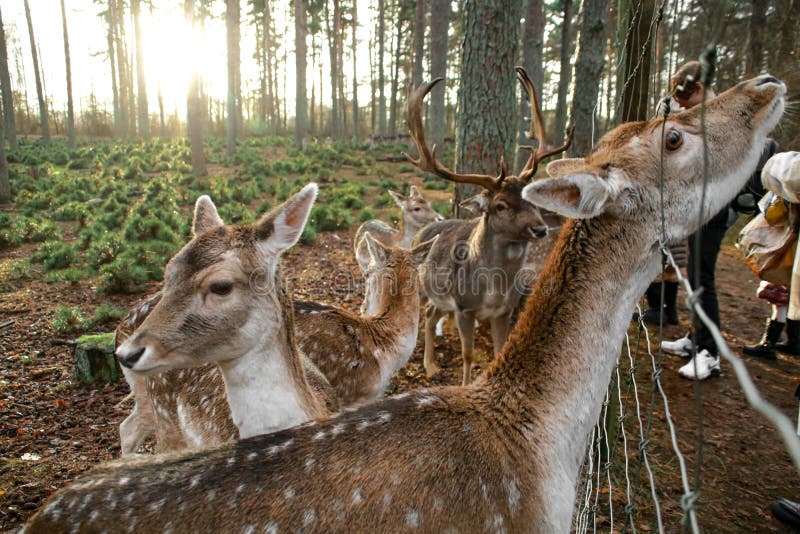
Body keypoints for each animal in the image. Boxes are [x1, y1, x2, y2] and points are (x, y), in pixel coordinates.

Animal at [116, 232, 437, 454]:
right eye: (366, 273)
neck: (382, 349)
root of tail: (119, 332)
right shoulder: (352, 395)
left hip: (142, 395)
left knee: (127, 427)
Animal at [411, 68, 573, 385]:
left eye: (529, 198)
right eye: (500, 205)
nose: (540, 229)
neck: (494, 288)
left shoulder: (504, 311)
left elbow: (499, 352)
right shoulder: (464, 307)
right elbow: (467, 355)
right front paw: (464, 386)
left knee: (431, 313)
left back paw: (432, 366)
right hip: (425, 286)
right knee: (424, 311)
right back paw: (426, 363)